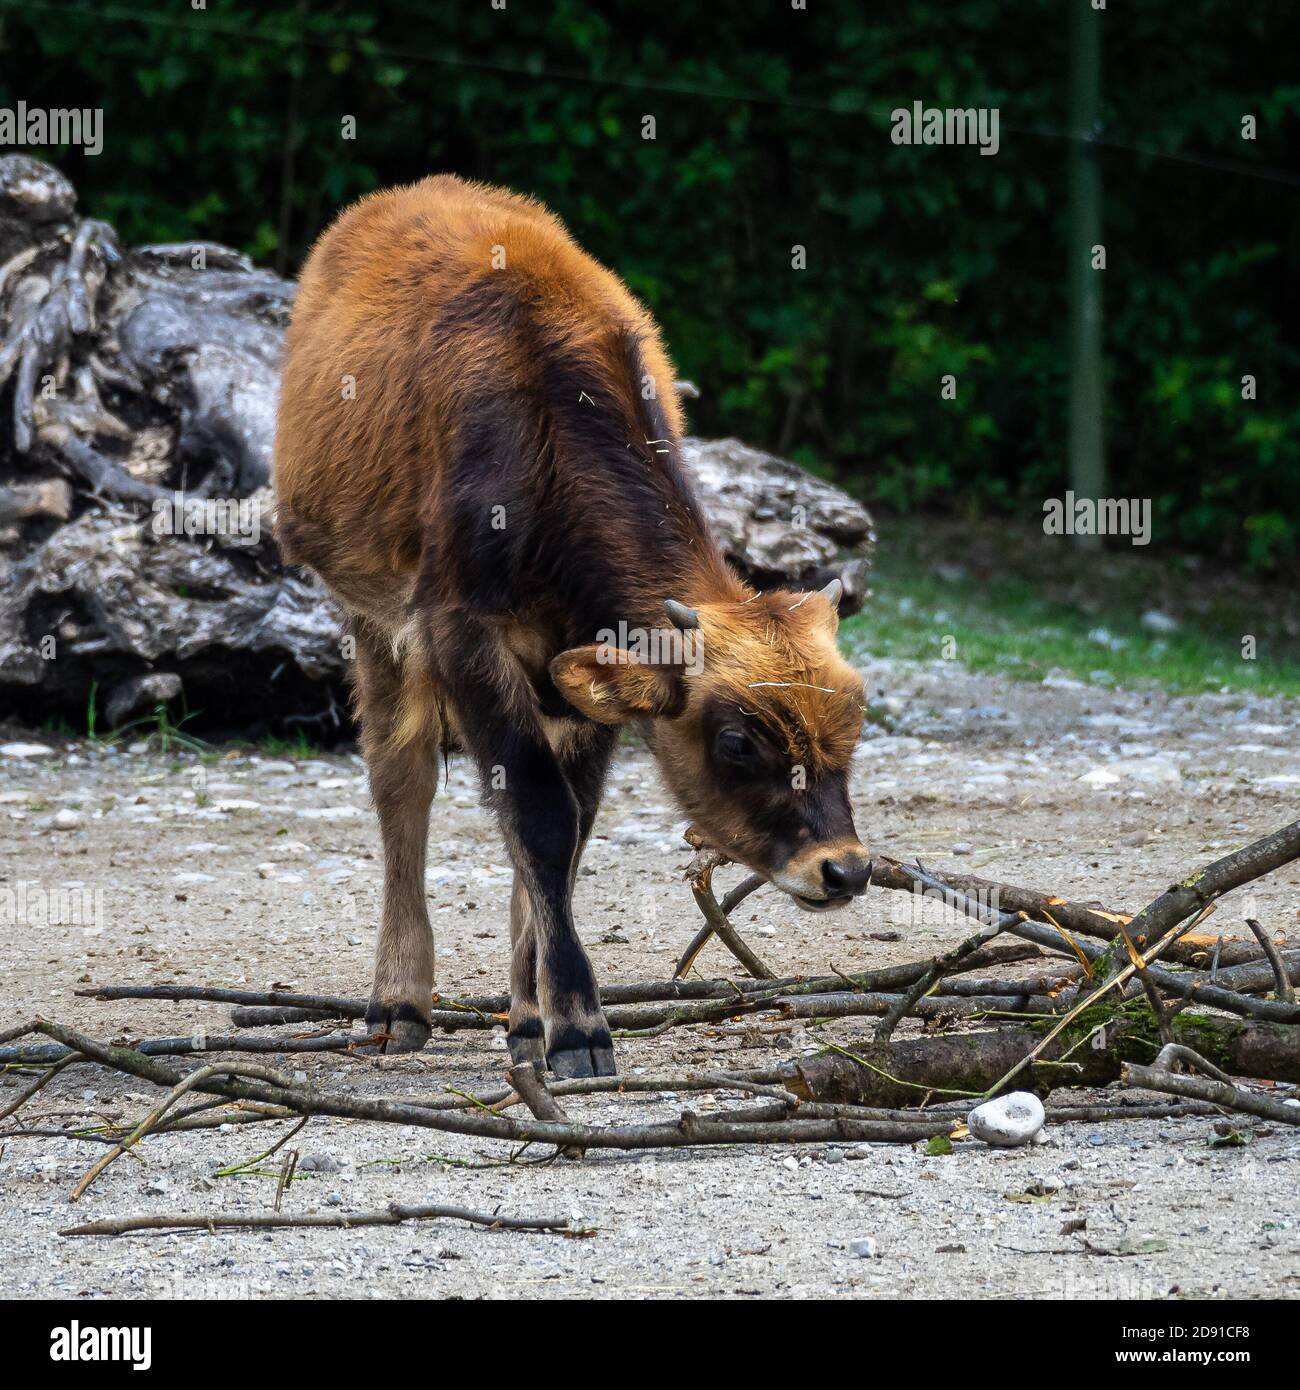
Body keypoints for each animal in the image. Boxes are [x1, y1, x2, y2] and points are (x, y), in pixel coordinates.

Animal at [273, 175, 871, 1079]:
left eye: (855, 724)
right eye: (737, 742)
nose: (843, 870)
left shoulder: (582, 673)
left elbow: (568, 829)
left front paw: (536, 1018)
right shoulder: (461, 634)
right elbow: (540, 820)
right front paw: (582, 1027)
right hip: (371, 623)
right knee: (400, 784)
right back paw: (396, 1004)